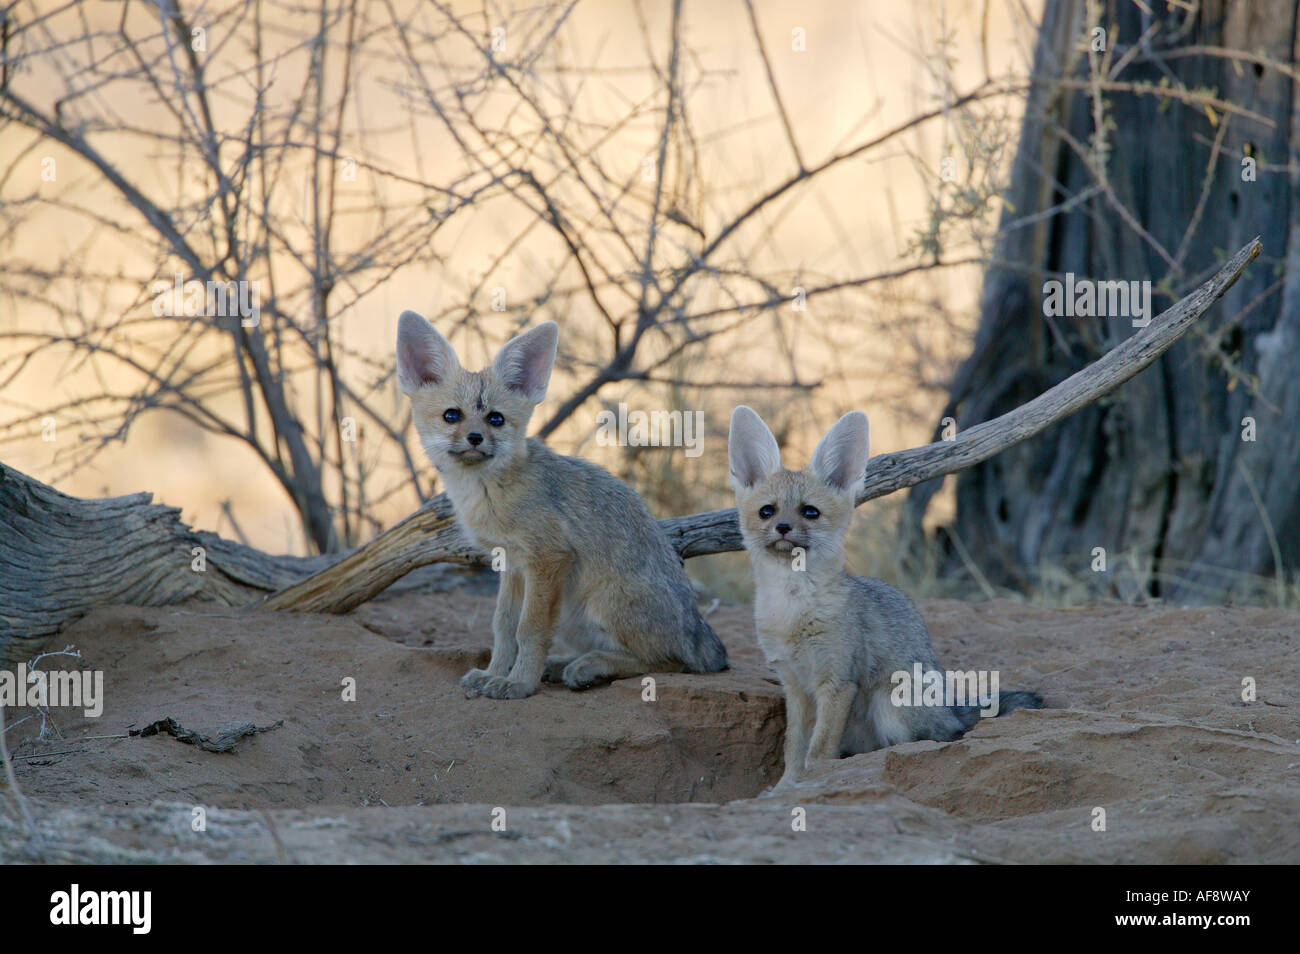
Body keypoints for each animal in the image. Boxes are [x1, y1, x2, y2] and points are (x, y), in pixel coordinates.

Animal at [396, 311, 728, 700]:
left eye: (495, 419)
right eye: (452, 416)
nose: (475, 438)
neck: (487, 492)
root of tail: (702, 633)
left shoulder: (548, 558)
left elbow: (530, 630)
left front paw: (519, 683)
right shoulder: (512, 565)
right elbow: (503, 627)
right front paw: (495, 674)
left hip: (599, 602)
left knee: (667, 661)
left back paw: (589, 666)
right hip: (572, 614)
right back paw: (565, 664)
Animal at [728, 405, 1042, 787]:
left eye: (809, 512)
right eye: (767, 511)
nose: (783, 527)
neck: (792, 607)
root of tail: (951, 707)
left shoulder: (837, 683)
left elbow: (817, 752)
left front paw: (808, 783)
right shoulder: (794, 684)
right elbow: (794, 747)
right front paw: (786, 785)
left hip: (889, 704)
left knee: (937, 738)